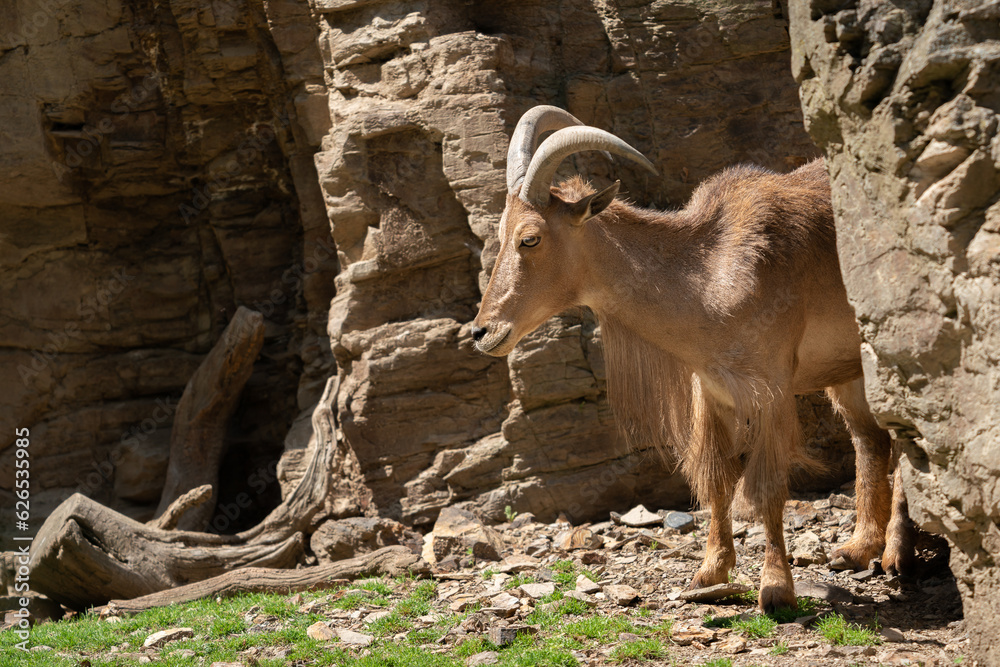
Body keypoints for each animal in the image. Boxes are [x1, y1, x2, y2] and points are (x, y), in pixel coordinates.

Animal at [471, 105, 915, 612]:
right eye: (501, 234)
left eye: (530, 239)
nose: (483, 332)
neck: (708, 276)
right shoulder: (713, 392)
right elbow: (716, 480)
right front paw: (709, 573)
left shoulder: (771, 390)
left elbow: (765, 490)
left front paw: (775, 589)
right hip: (847, 372)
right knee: (871, 440)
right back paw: (858, 549)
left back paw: (897, 555)